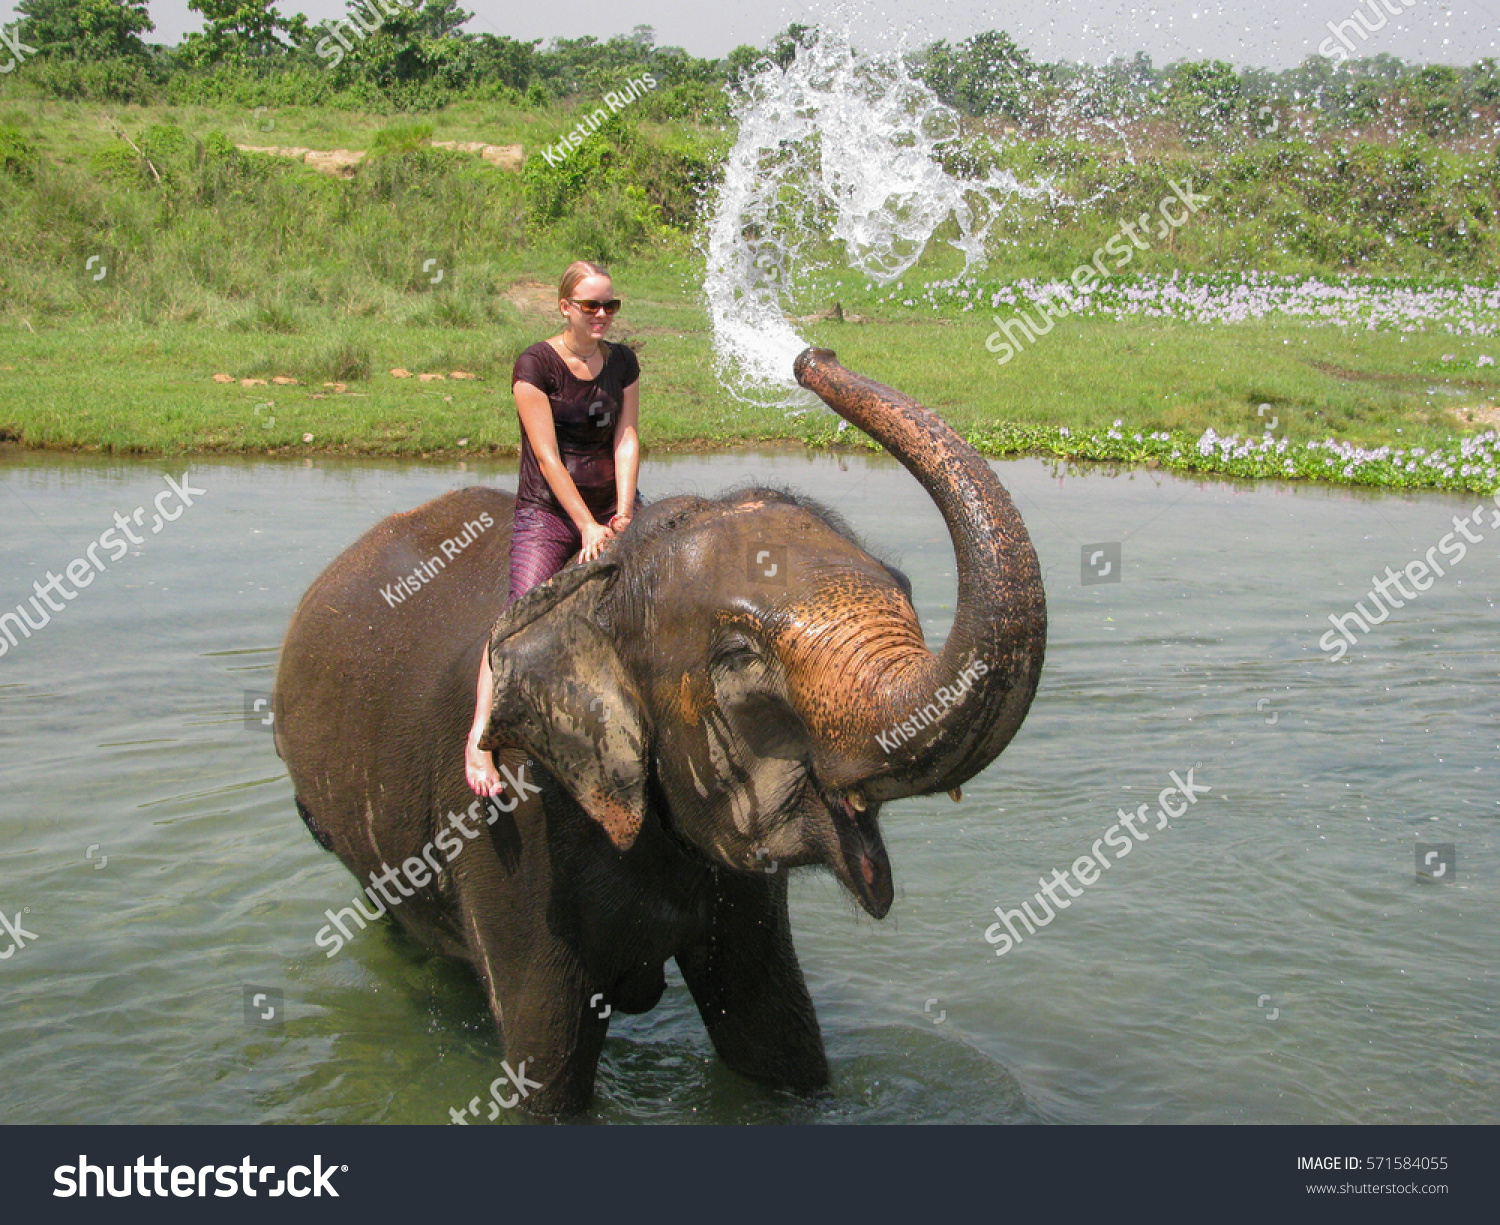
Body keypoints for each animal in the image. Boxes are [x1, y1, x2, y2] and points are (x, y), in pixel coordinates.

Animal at [272, 347, 1047, 1116]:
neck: (602, 587)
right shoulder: (510, 824)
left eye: (905, 587)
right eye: (737, 655)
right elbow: (547, 1070)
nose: (811, 355)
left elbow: (773, 1034)